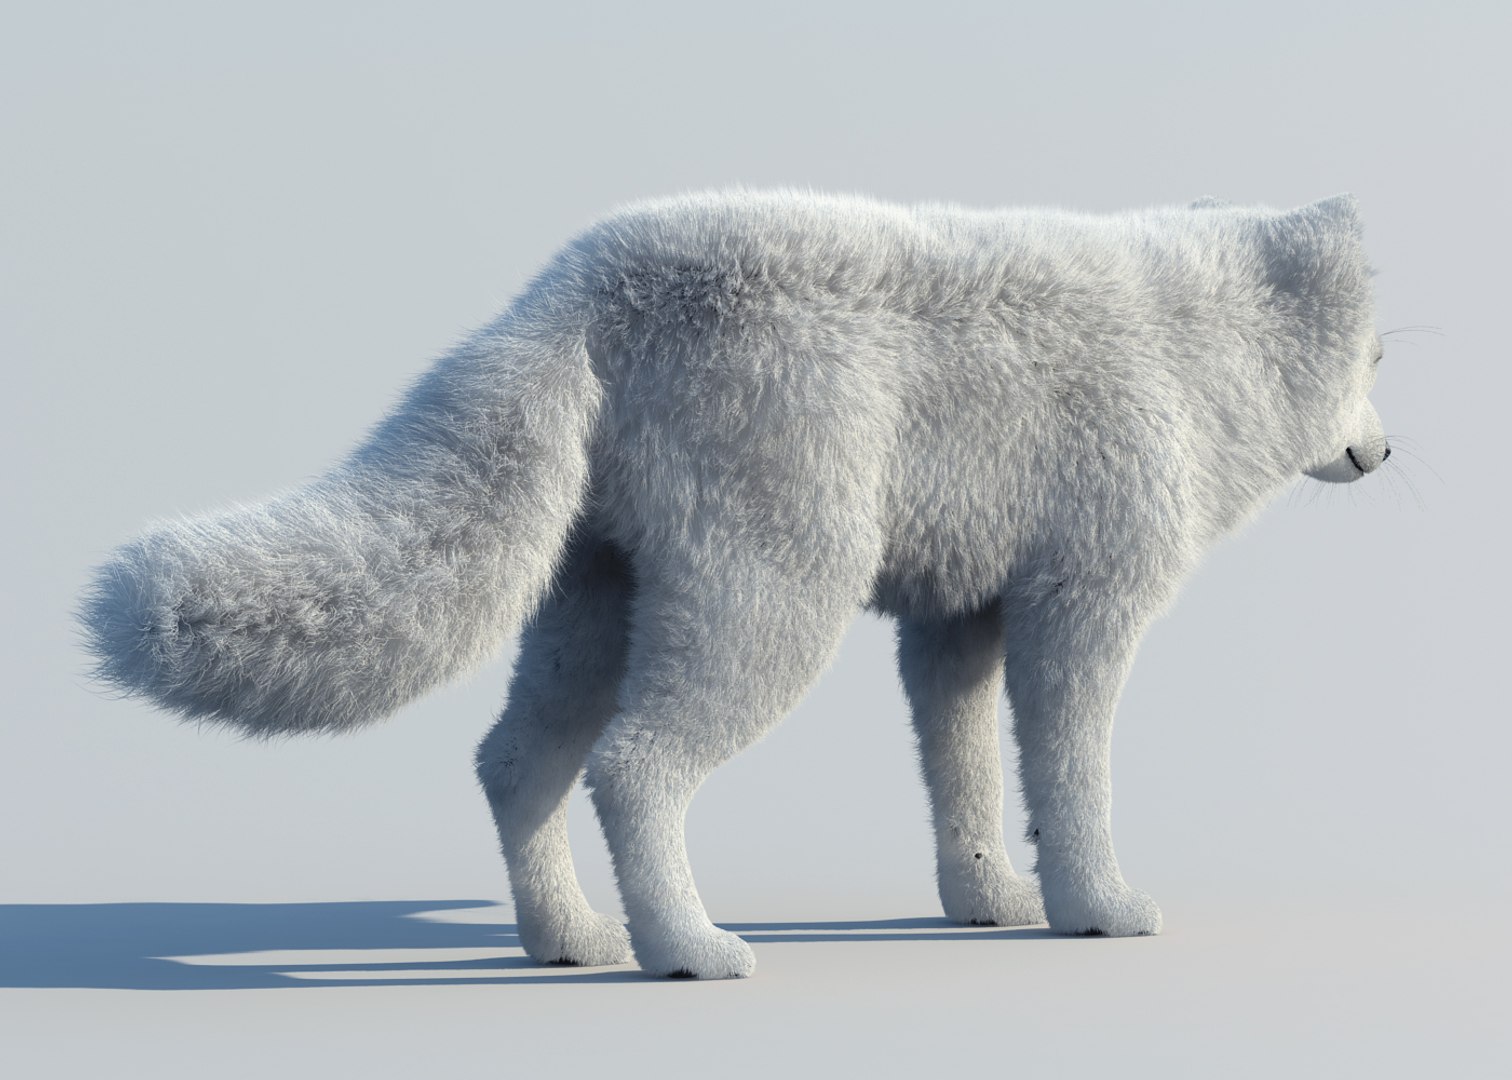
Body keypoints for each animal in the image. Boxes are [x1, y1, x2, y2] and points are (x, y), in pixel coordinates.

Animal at [79, 189, 1391, 979]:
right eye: (1377, 358)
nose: (1382, 454)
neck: (1197, 350)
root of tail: (584, 279)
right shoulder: (1083, 606)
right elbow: (1072, 776)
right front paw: (1098, 907)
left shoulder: (955, 623)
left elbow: (962, 780)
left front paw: (986, 904)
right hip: (773, 599)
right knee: (632, 765)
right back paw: (688, 949)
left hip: (596, 601)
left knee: (513, 762)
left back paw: (570, 939)